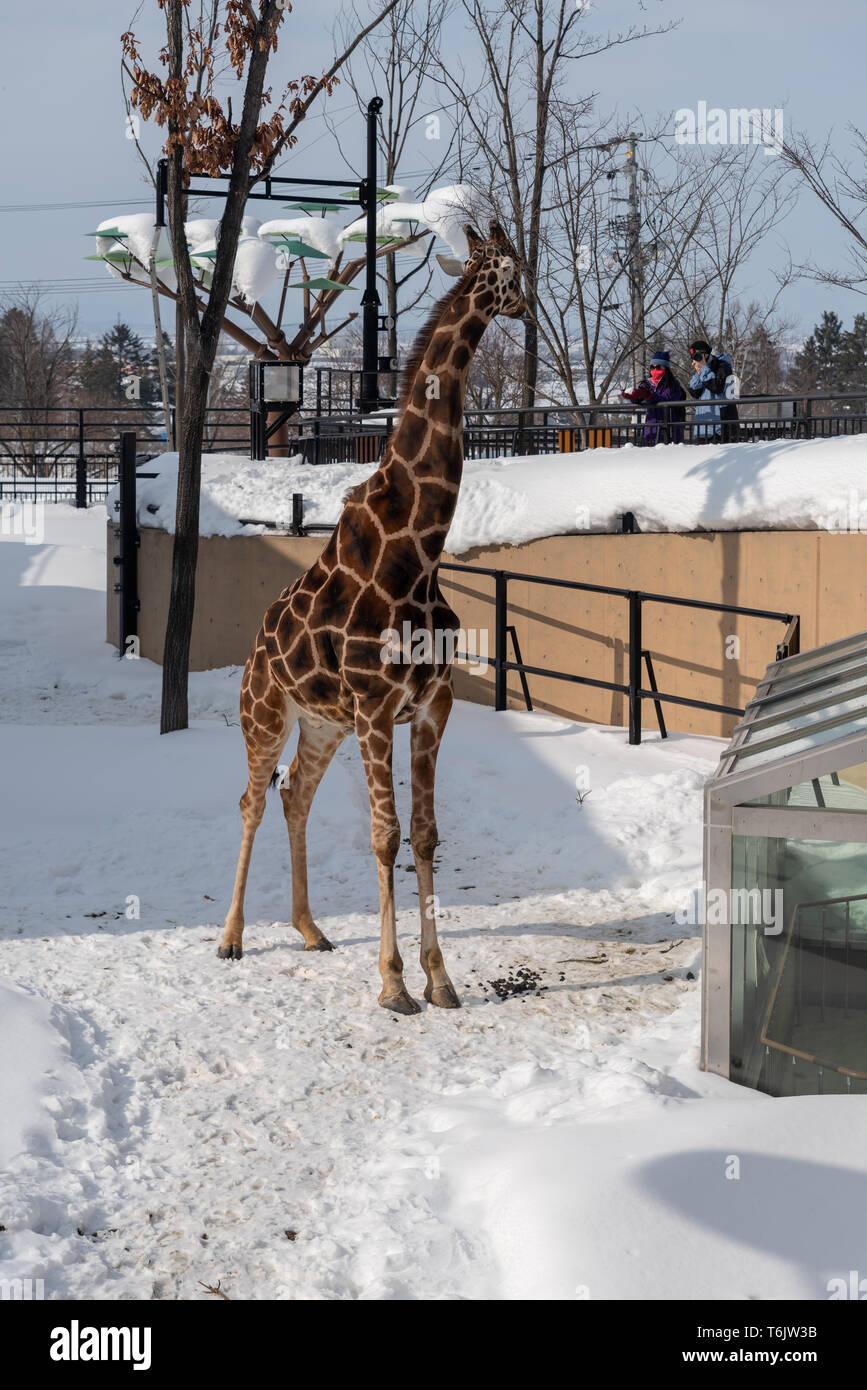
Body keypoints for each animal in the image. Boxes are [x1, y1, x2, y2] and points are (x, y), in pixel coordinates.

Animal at [218, 219, 527, 1014]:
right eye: (506, 269)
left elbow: (424, 834)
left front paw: (440, 979)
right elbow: (384, 836)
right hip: (265, 715)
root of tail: (254, 646)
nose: (528, 306)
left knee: (293, 795)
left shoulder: (430, 705)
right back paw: (231, 938)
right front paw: (392, 984)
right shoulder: (376, 707)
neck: (417, 550)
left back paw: (310, 930)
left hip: (323, 724)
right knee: (251, 799)